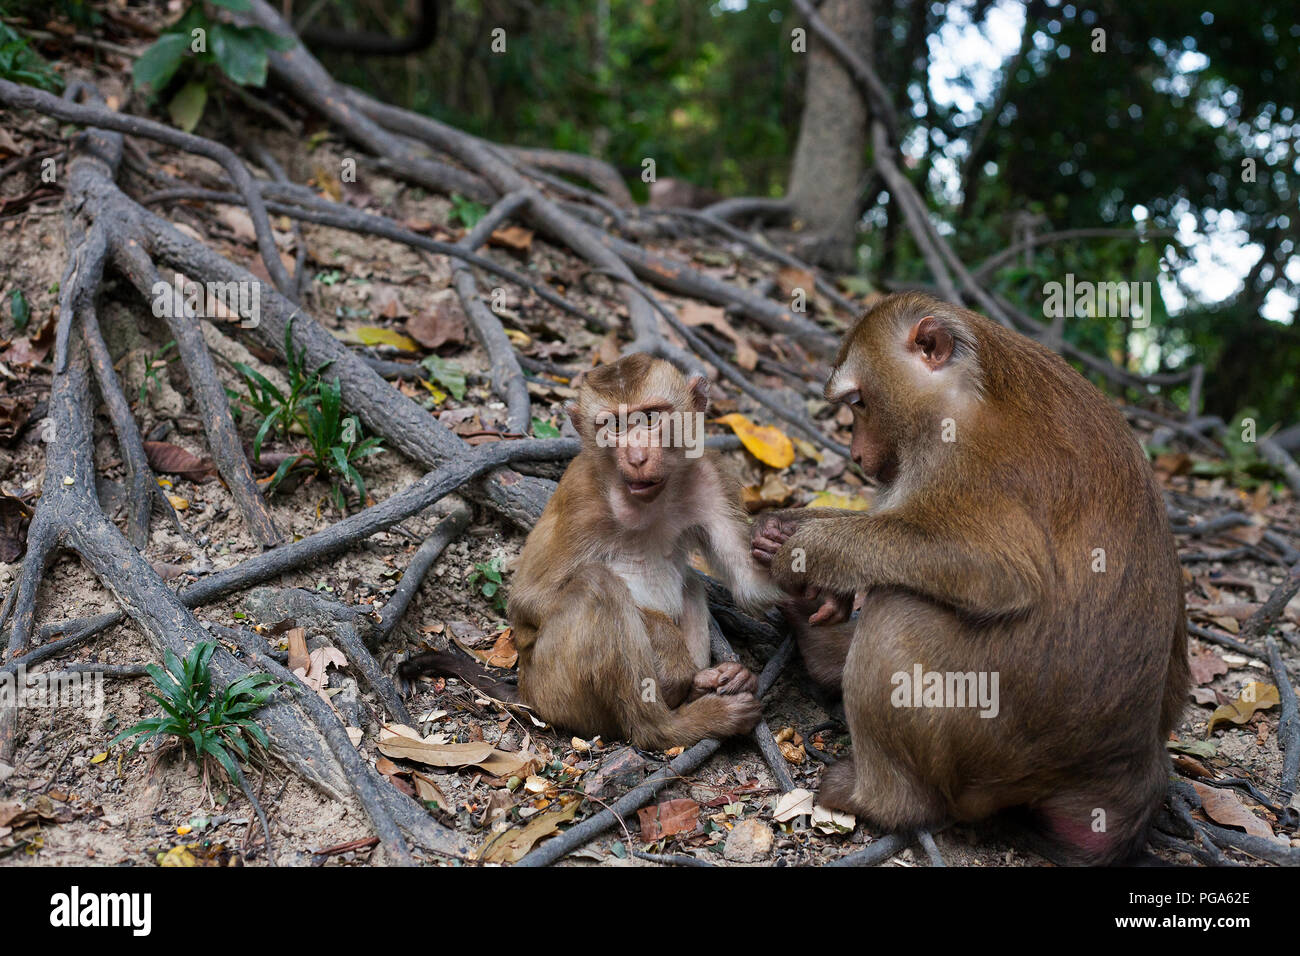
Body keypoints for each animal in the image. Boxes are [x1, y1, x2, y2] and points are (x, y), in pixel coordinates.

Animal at [401, 353, 783, 750]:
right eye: (612, 426)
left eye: (650, 418)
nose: (636, 456)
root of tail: (525, 690)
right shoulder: (581, 498)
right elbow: (528, 602)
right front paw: (669, 649)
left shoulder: (710, 478)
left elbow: (751, 588)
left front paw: (774, 538)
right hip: (556, 689)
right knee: (596, 587)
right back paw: (673, 724)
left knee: (689, 583)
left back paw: (704, 684)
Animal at [751, 291, 1188, 865]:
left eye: (859, 402)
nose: (857, 456)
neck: (966, 387)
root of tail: (1125, 770)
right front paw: (787, 530)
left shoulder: (963, 454)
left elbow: (997, 571)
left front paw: (810, 552)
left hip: (992, 735)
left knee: (900, 612)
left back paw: (881, 800)